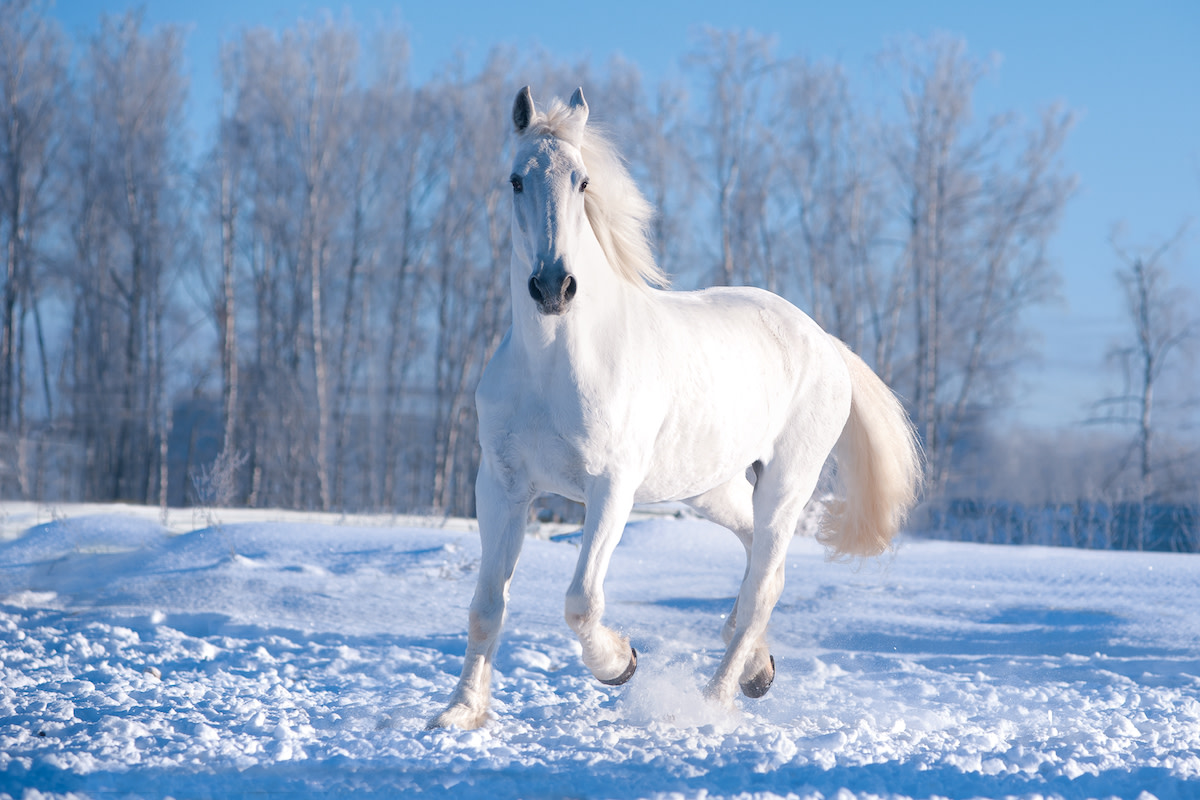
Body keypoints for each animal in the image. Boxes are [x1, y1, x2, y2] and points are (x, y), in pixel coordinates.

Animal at [427, 86, 922, 730]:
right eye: (515, 180)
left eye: (582, 181)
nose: (553, 287)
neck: (553, 363)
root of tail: (825, 342)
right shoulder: (501, 485)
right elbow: (486, 605)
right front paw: (459, 713)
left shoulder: (612, 485)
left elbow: (581, 601)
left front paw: (621, 663)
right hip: (709, 486)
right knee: (757, 557)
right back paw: (757, 669)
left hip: (787, 482)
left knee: (764, 585)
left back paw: (714, 701)